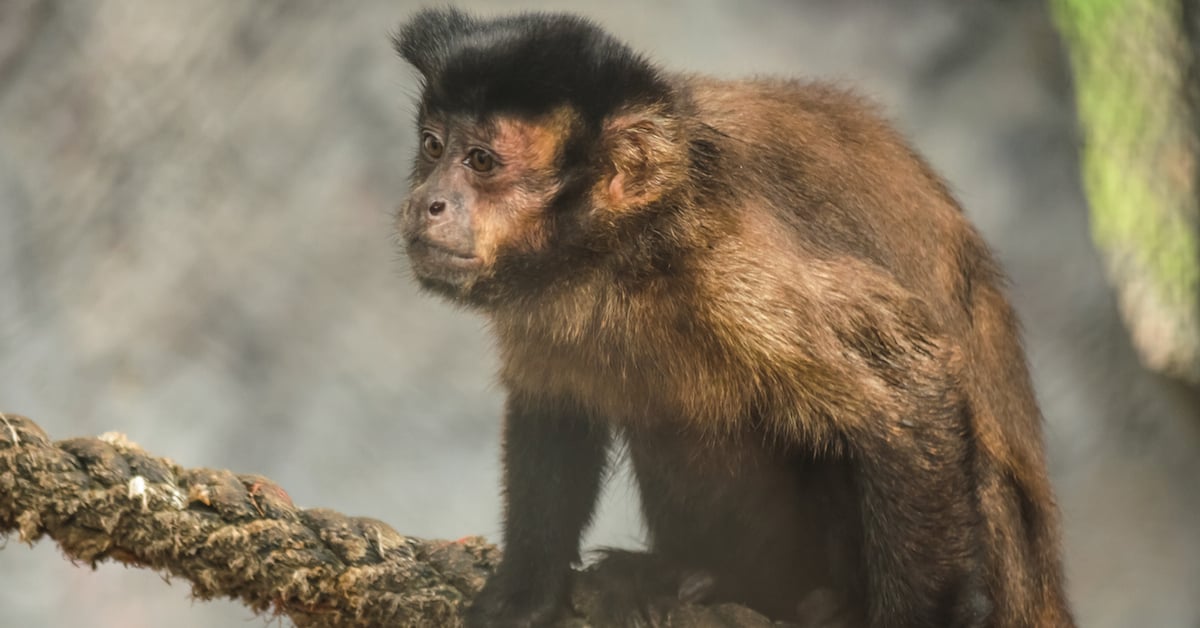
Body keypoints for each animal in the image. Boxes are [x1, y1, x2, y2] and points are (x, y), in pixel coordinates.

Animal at [392, 8, 1074, 628]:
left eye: (481, 161)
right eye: (433, 147)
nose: (427, 201)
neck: (628, 248)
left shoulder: (736, 259)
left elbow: (912, 388)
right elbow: (556, 402)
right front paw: (528, 595)